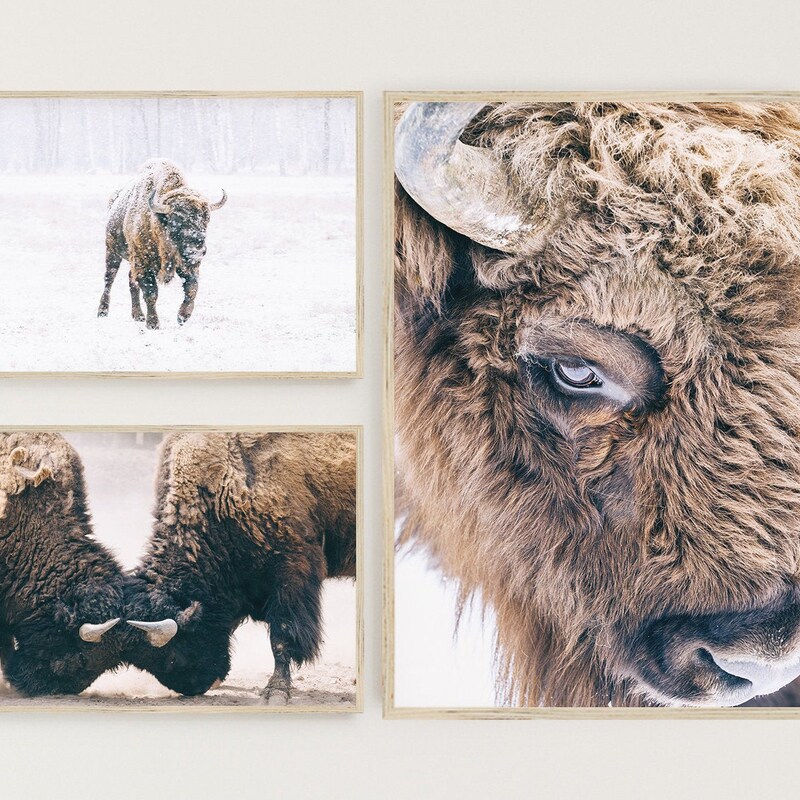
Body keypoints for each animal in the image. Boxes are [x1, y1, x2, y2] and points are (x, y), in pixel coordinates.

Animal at [97, 159, 227, 329]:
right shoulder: (143, 262)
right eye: (176, 221)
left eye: (206, 219)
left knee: (131, 281)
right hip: (112, 251)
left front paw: (182, 317)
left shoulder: (187, 265)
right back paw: (102, 312)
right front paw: (153, 324)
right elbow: (151, 292)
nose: (197, 250)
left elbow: (192, 288)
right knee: (109, 279)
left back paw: (138, 316)